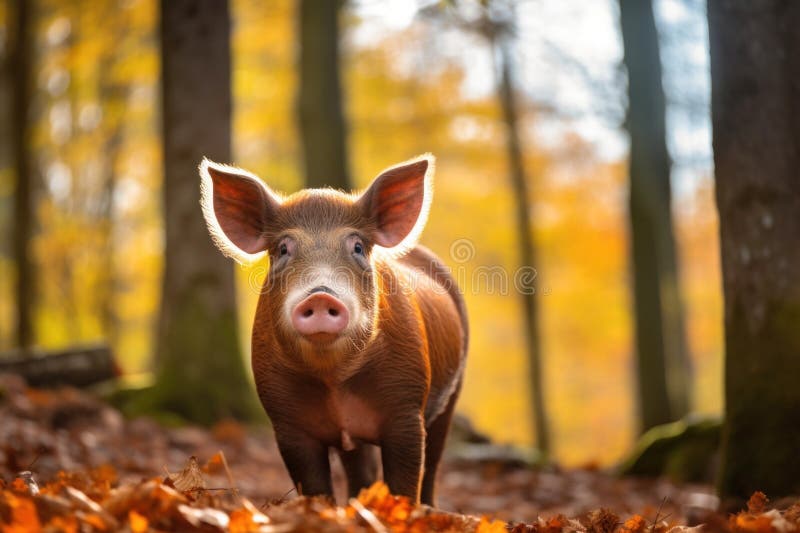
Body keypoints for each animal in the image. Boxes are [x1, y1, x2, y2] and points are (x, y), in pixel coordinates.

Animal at [199, 154, 467, 505]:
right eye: (283, 249)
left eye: (357, 247)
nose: (321, 294)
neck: (334, 379)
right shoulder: (287, 425)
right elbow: (316, 489)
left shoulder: (407, 410)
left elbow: (404, 485)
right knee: (361, 472)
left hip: (451, 394)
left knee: (432, 466)